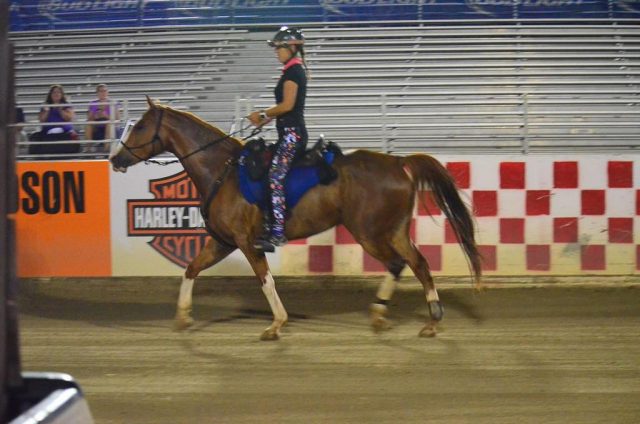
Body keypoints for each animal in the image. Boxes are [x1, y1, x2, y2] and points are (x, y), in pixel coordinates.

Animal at [110, 97, 482, 340]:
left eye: (139, 125)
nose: (115, 158)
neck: (221, 170)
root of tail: (399, 163)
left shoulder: (246, 242)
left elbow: (265, 280)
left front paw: (277, 323)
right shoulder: (222, 242)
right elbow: (191, 269)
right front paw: (183, 317)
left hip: (370, 232)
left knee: (397, 264)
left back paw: (380, 314)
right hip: (394, 231)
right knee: (419, 264)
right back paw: (431, 320)